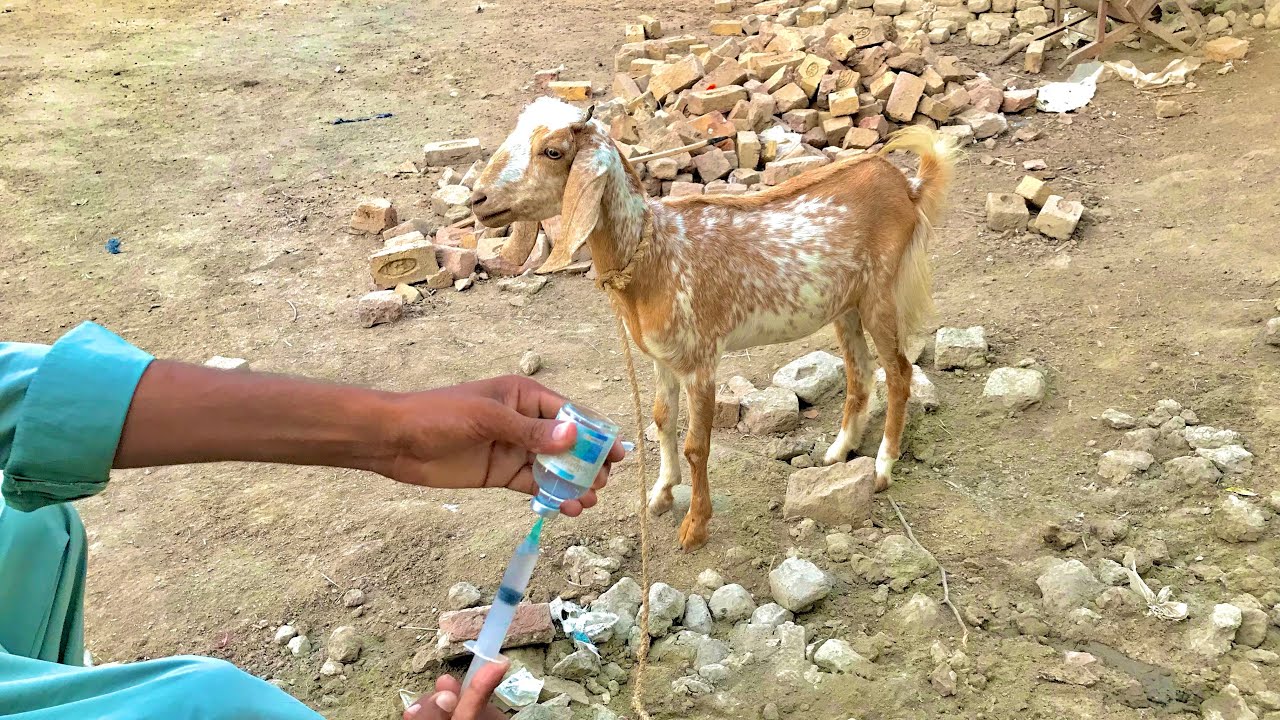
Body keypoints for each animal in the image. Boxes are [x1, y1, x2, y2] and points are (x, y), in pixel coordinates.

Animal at [471, 97, 956, 552]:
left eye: (553, 151)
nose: (477, 200)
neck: (656, 254)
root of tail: (908, 185)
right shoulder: (661, 358)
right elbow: (661, 420)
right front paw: (661, 494)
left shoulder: (700, 360)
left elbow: (696, 445)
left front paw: (694, 527)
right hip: (846, 306)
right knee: (862, 372)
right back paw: (838, 452)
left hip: (881, 293)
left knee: (899, 372)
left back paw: (882, 467)